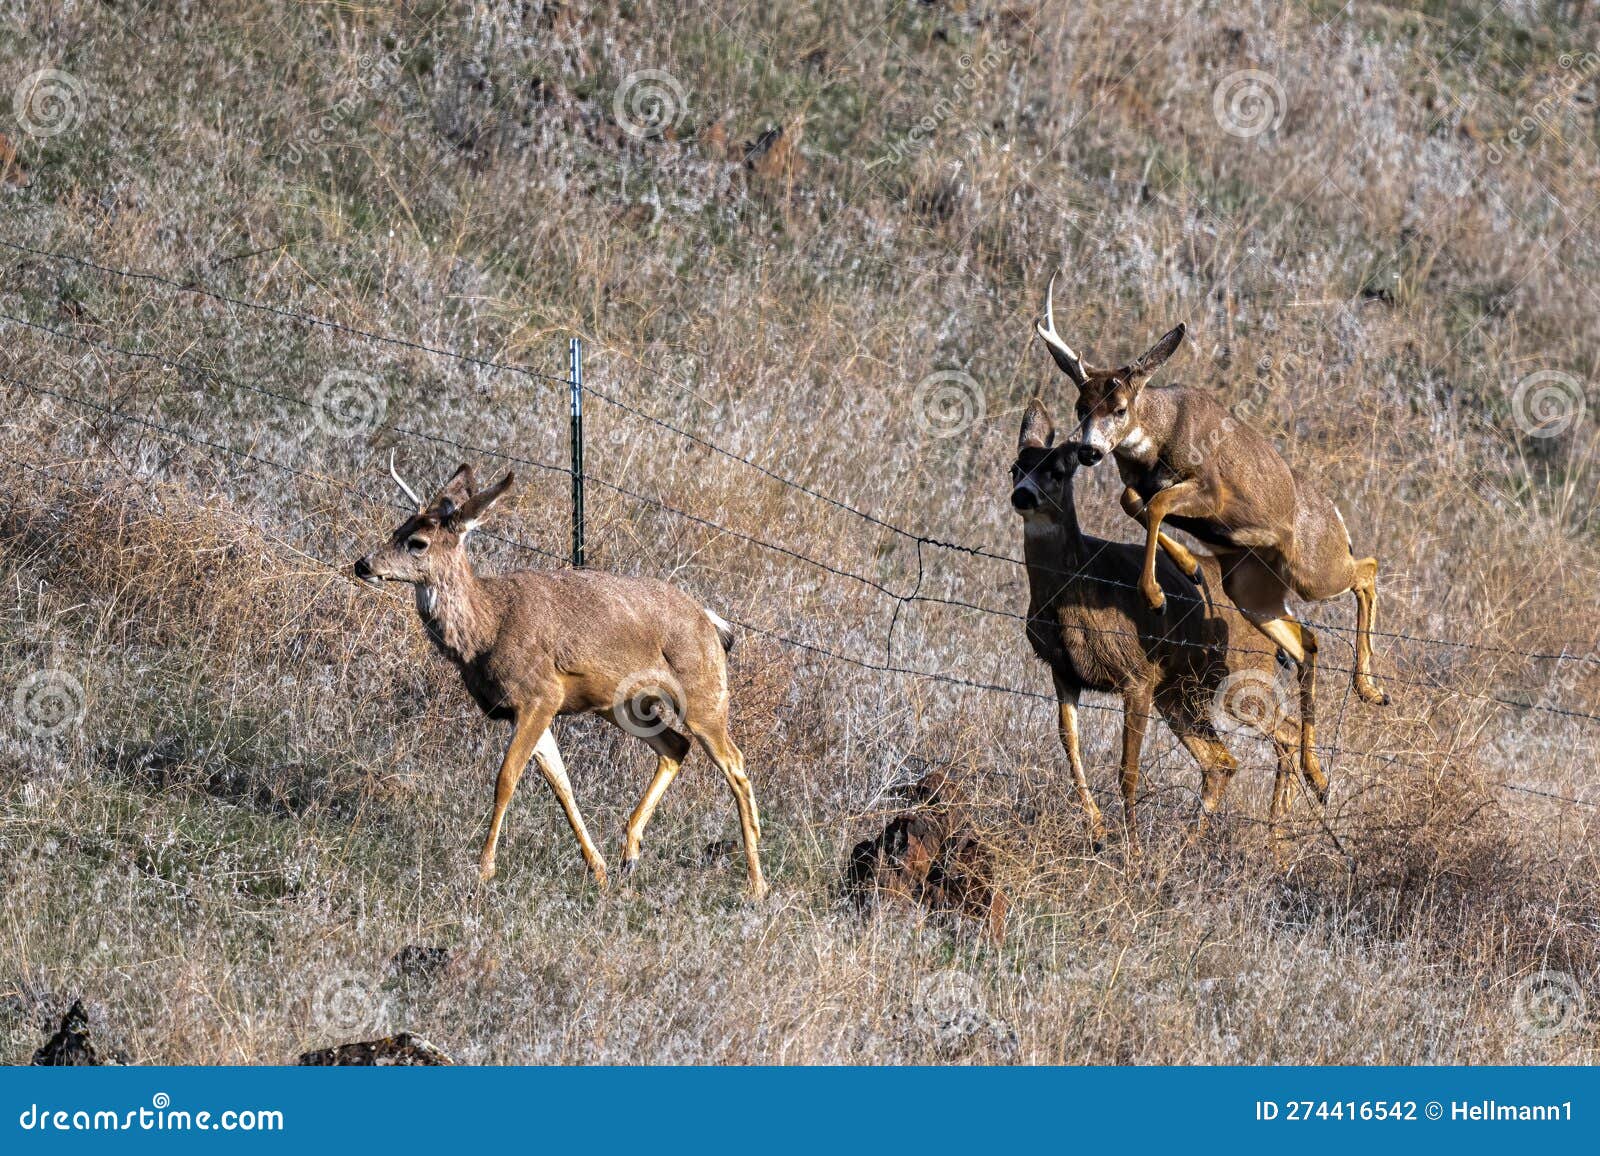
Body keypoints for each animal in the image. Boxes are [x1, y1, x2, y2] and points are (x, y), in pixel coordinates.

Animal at [352, 455, 767, 897]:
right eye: (397, 529)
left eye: (418, 543)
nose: (364, 564)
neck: (487, 629)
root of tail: (712, 622)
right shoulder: (526, 708)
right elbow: (560, 783)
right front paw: (597, 869)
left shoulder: (539, 694)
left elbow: (506, 778)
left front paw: (484, 869)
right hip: (624, 705)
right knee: (676, 746)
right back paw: (630, 853)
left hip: (703, 692)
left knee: (735, 765)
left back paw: (756, 882)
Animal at [1011, 398, 1316, 856]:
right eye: (1015, 467)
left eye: (1058, 471)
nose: (1022, 494)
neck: (1072, 588)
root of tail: (1276, 614)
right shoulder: (1062, 670)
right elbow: (1071, 748)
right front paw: (1097, 829)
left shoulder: (1137, 673)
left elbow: (1128, 769)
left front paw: (1132, 849)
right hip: (1179, 692)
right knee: (1222, 761)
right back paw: (1194, 843)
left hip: (1239, 677)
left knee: (1286, 731)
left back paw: (1276, 837)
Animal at [1034, 275, 1390, 792]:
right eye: (1081, 406)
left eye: (1119, 408)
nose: (1089, 452)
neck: (1159, 438)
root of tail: (1336, 517)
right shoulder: (1145, 486)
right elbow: (1133, 502)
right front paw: (1186, 568)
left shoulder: (1213, 491)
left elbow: (1156, 504)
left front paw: (1155, 594)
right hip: (1252, 589)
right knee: (1306, 642)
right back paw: (1318, 774)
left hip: (1311, 568)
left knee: (1366, 568)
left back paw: (1370, 689)